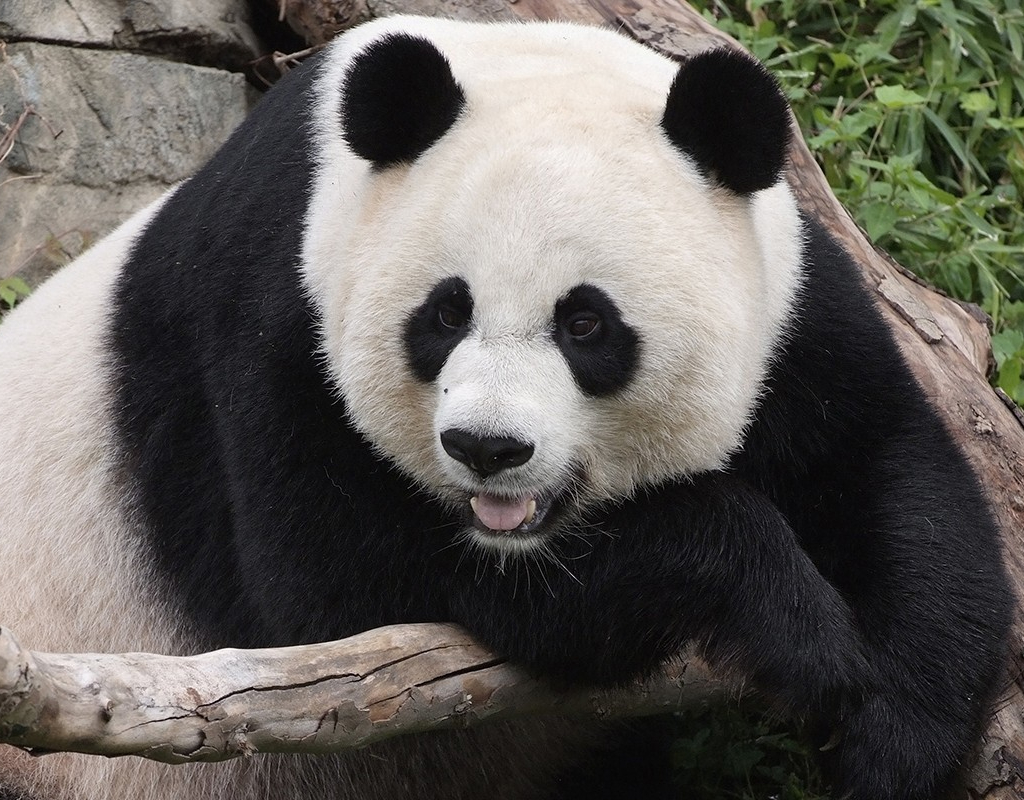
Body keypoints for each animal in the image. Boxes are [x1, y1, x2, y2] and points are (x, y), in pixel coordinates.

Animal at [0, 13, 1011, 800]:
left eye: (586, 323)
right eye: (447, 313)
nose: (488, 447)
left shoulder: (790, 301)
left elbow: (890, 467)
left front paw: (892, 734)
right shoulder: (271, 305)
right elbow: (337, 584)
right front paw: (802, 632)